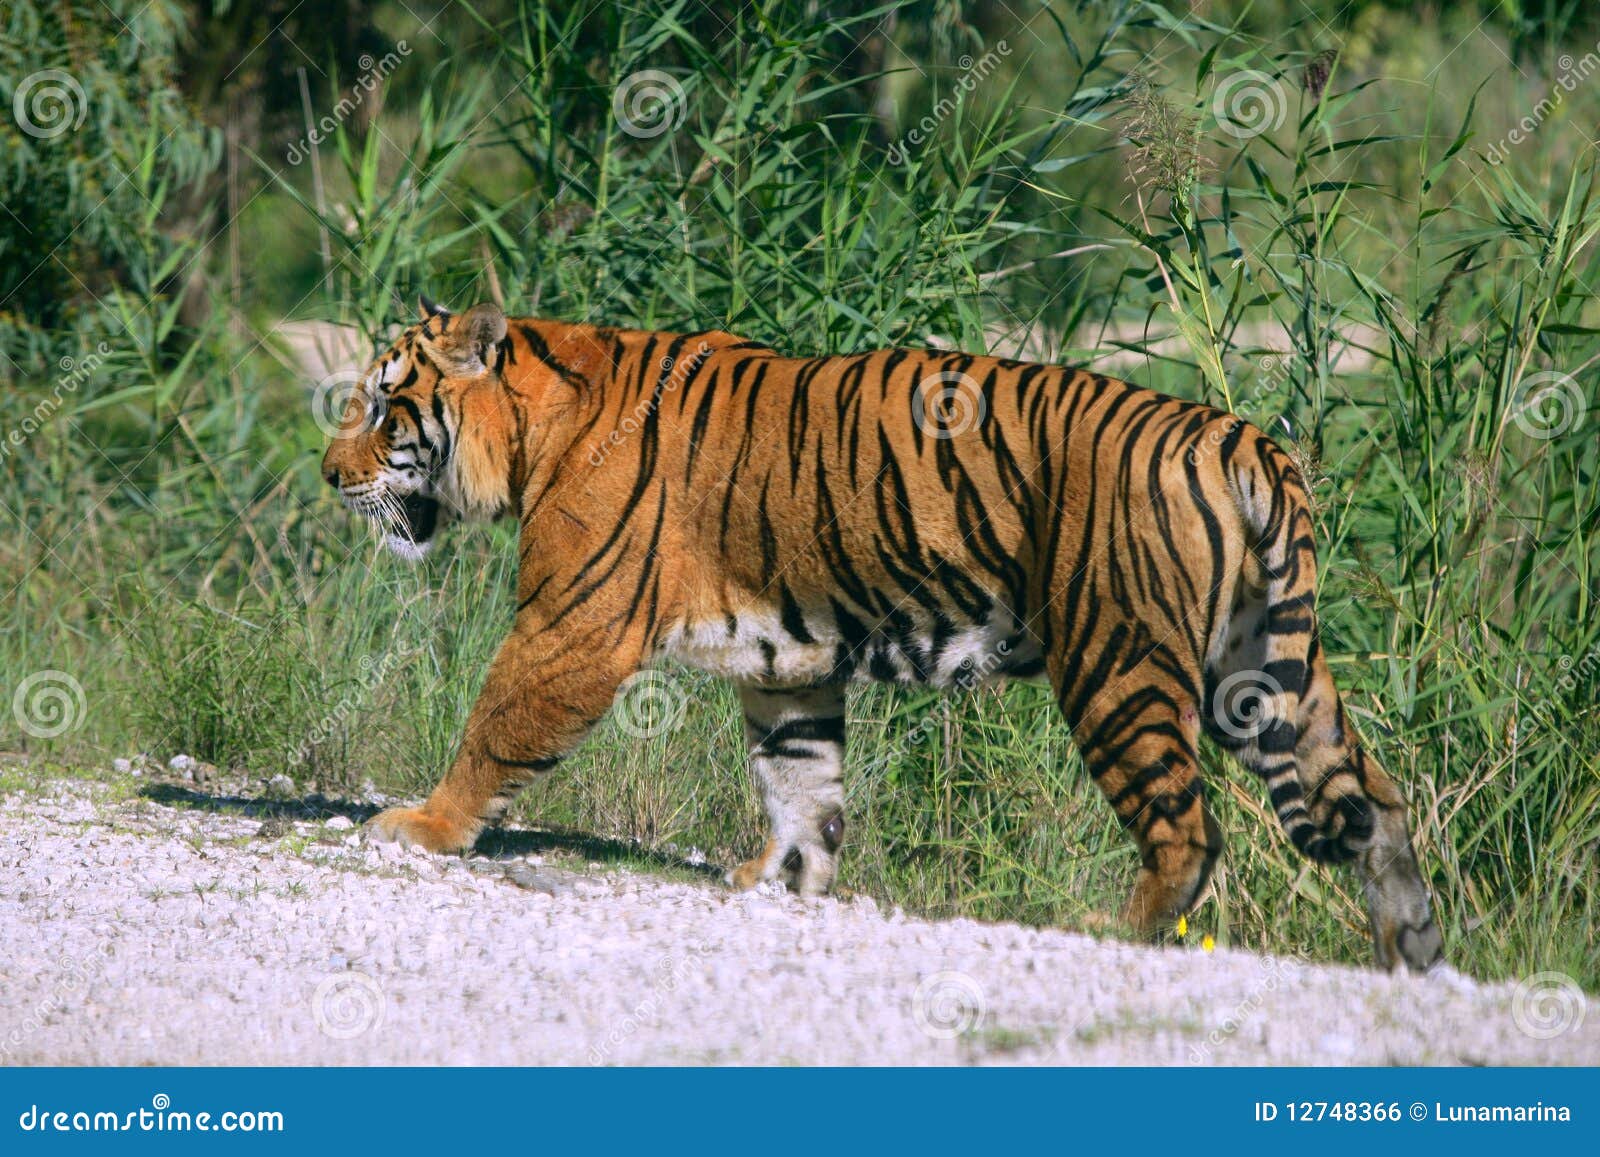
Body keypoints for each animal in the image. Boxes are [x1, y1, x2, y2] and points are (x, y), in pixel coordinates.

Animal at [319, 296, 1443, 972]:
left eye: (382, 406)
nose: (328, 475)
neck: (533, 430)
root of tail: (1245, 437)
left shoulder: (572, 627)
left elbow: (495, 727)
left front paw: (420, 824)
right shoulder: (785, 662)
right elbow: (801, 783)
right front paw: (781, 883)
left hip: (1118, 661)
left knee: (1186, 827)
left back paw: (1110, 935)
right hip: (1265, 674)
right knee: (1376, 805)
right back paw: (1414, 954)